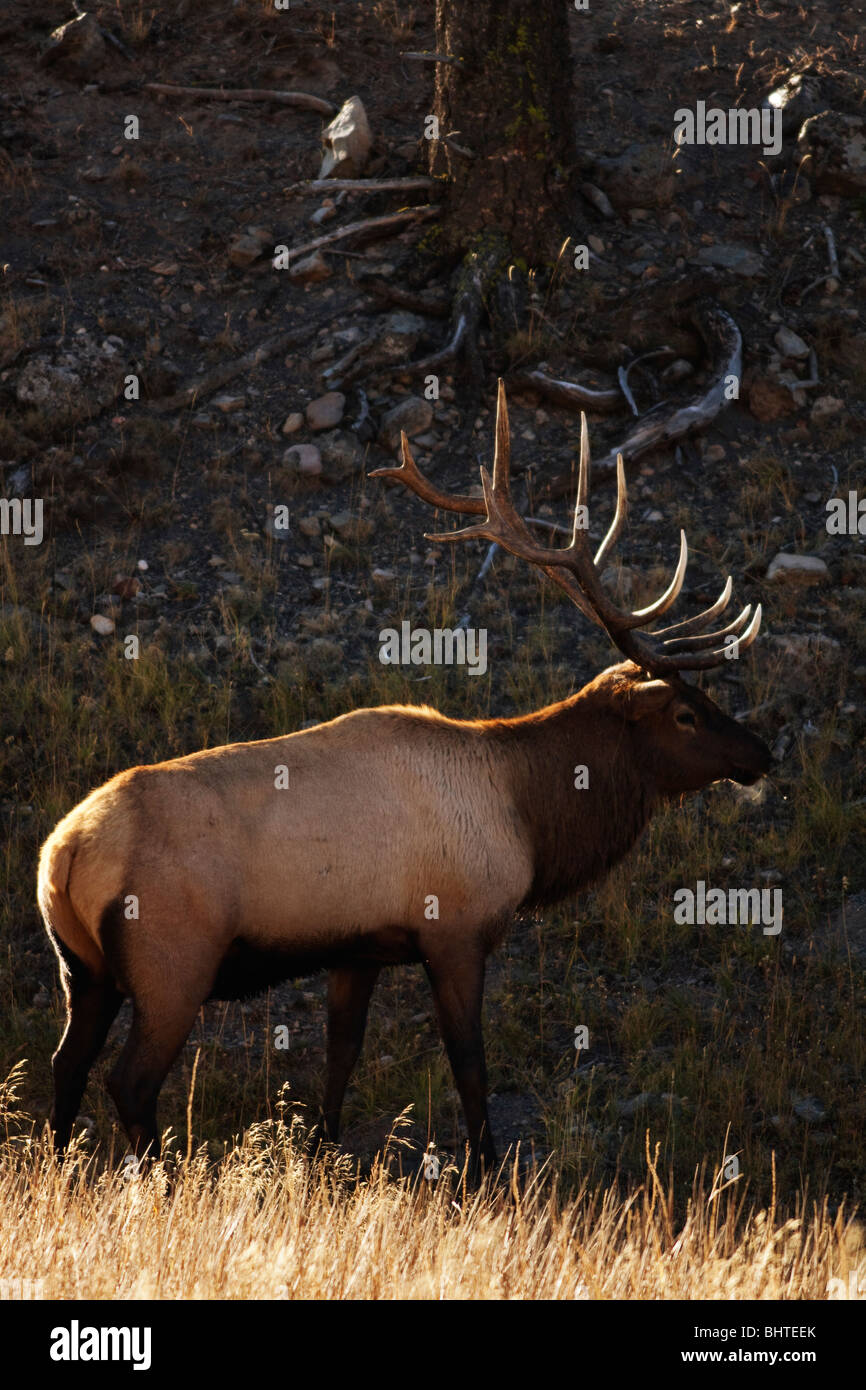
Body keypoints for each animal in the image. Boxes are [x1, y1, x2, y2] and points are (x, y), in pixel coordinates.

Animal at [38, 382, 771, 1179]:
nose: (762, 753)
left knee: (64, 1065)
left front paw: (323, 1158)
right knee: (129, 1082)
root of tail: (63, 854)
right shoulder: (454, 930)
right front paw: (486, 1170)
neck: (528, 815)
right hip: (172, 963)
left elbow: (341, 1057)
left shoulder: (357, 948)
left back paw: (58, 1173)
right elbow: (470, 1064)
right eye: (686, 712)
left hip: (83, 969)